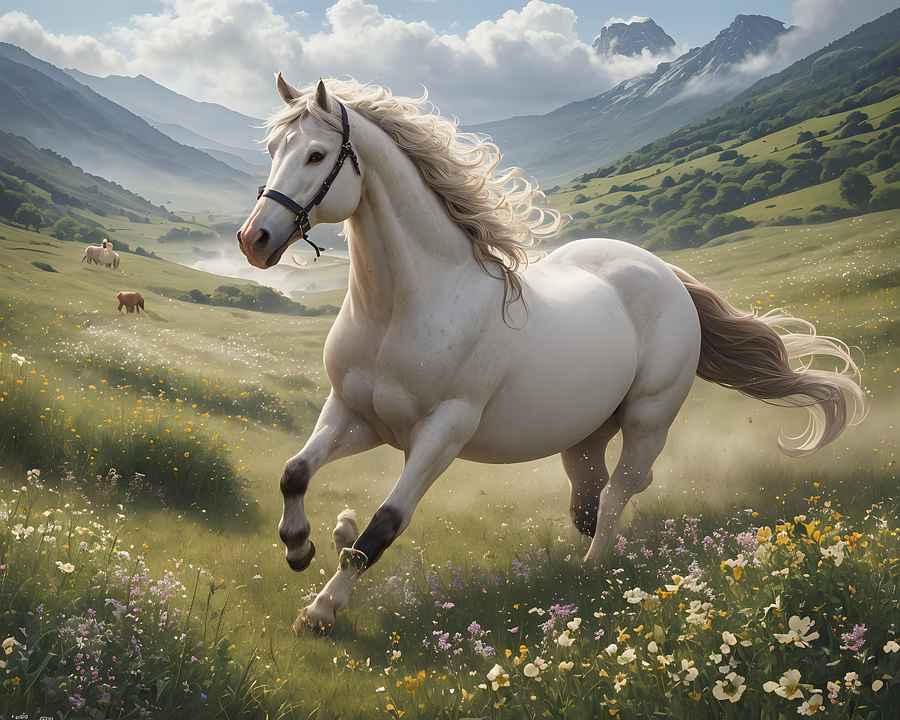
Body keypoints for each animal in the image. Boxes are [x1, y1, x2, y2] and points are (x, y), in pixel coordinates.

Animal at [237, 76, 868, 634]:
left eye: (317, 154)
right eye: (273, 150)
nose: (253, 240)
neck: (406, 308)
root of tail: (665, 273)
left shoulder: (443, 431)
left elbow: (385, 524)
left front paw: (321, 609)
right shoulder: (357, 412)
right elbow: (295, 472)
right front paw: (302, 545)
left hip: (648, 419)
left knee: (618, 492)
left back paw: (596, 574)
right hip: (583, 436)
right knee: (595, 495)